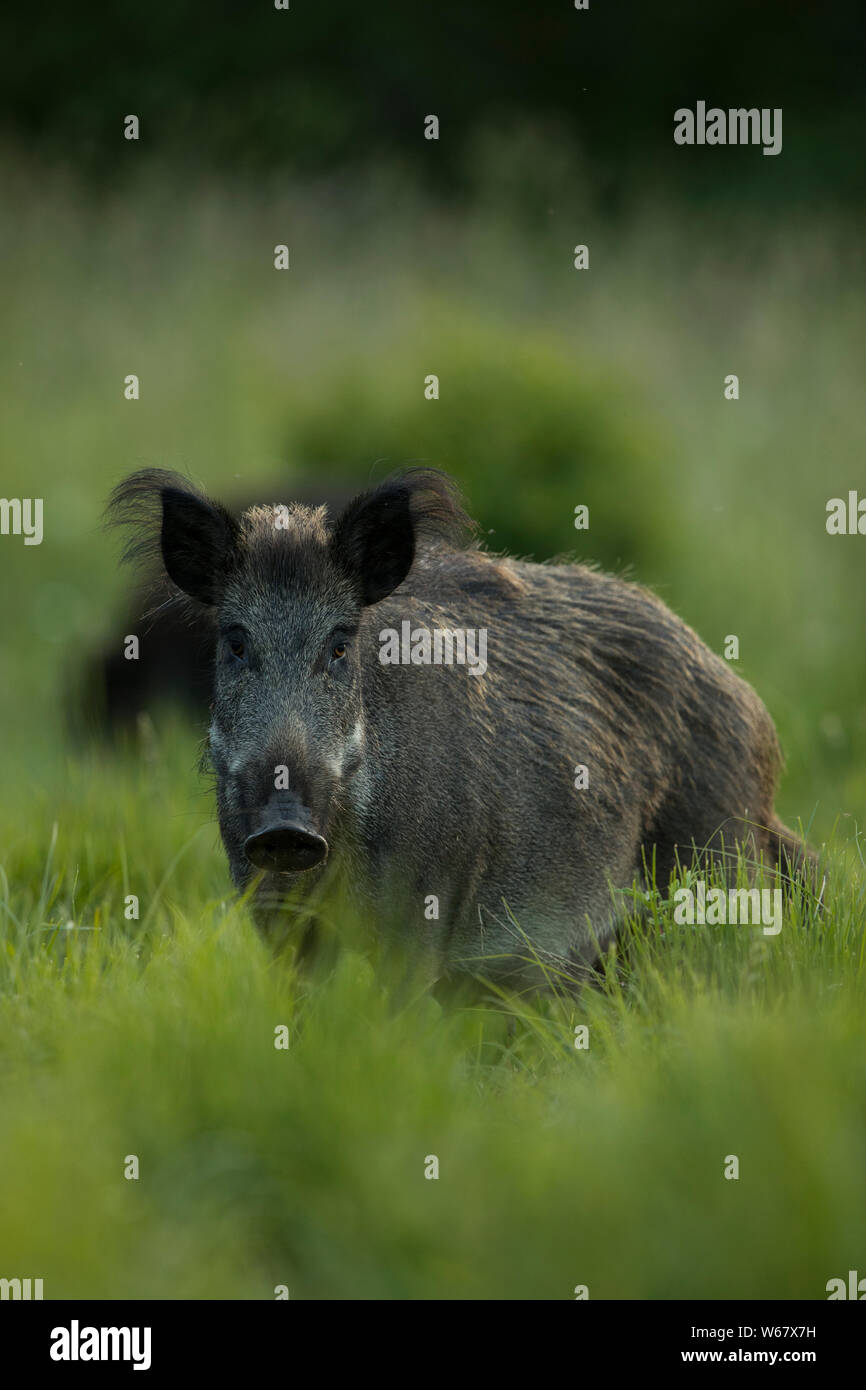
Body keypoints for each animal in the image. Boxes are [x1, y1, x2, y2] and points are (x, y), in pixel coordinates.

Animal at [107, 467, 814, 991]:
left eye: (339, 645)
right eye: (234, 643)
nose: (285, 827)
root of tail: (753, 720)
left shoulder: (425, 910)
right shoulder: (274, 916)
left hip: (714, 860)